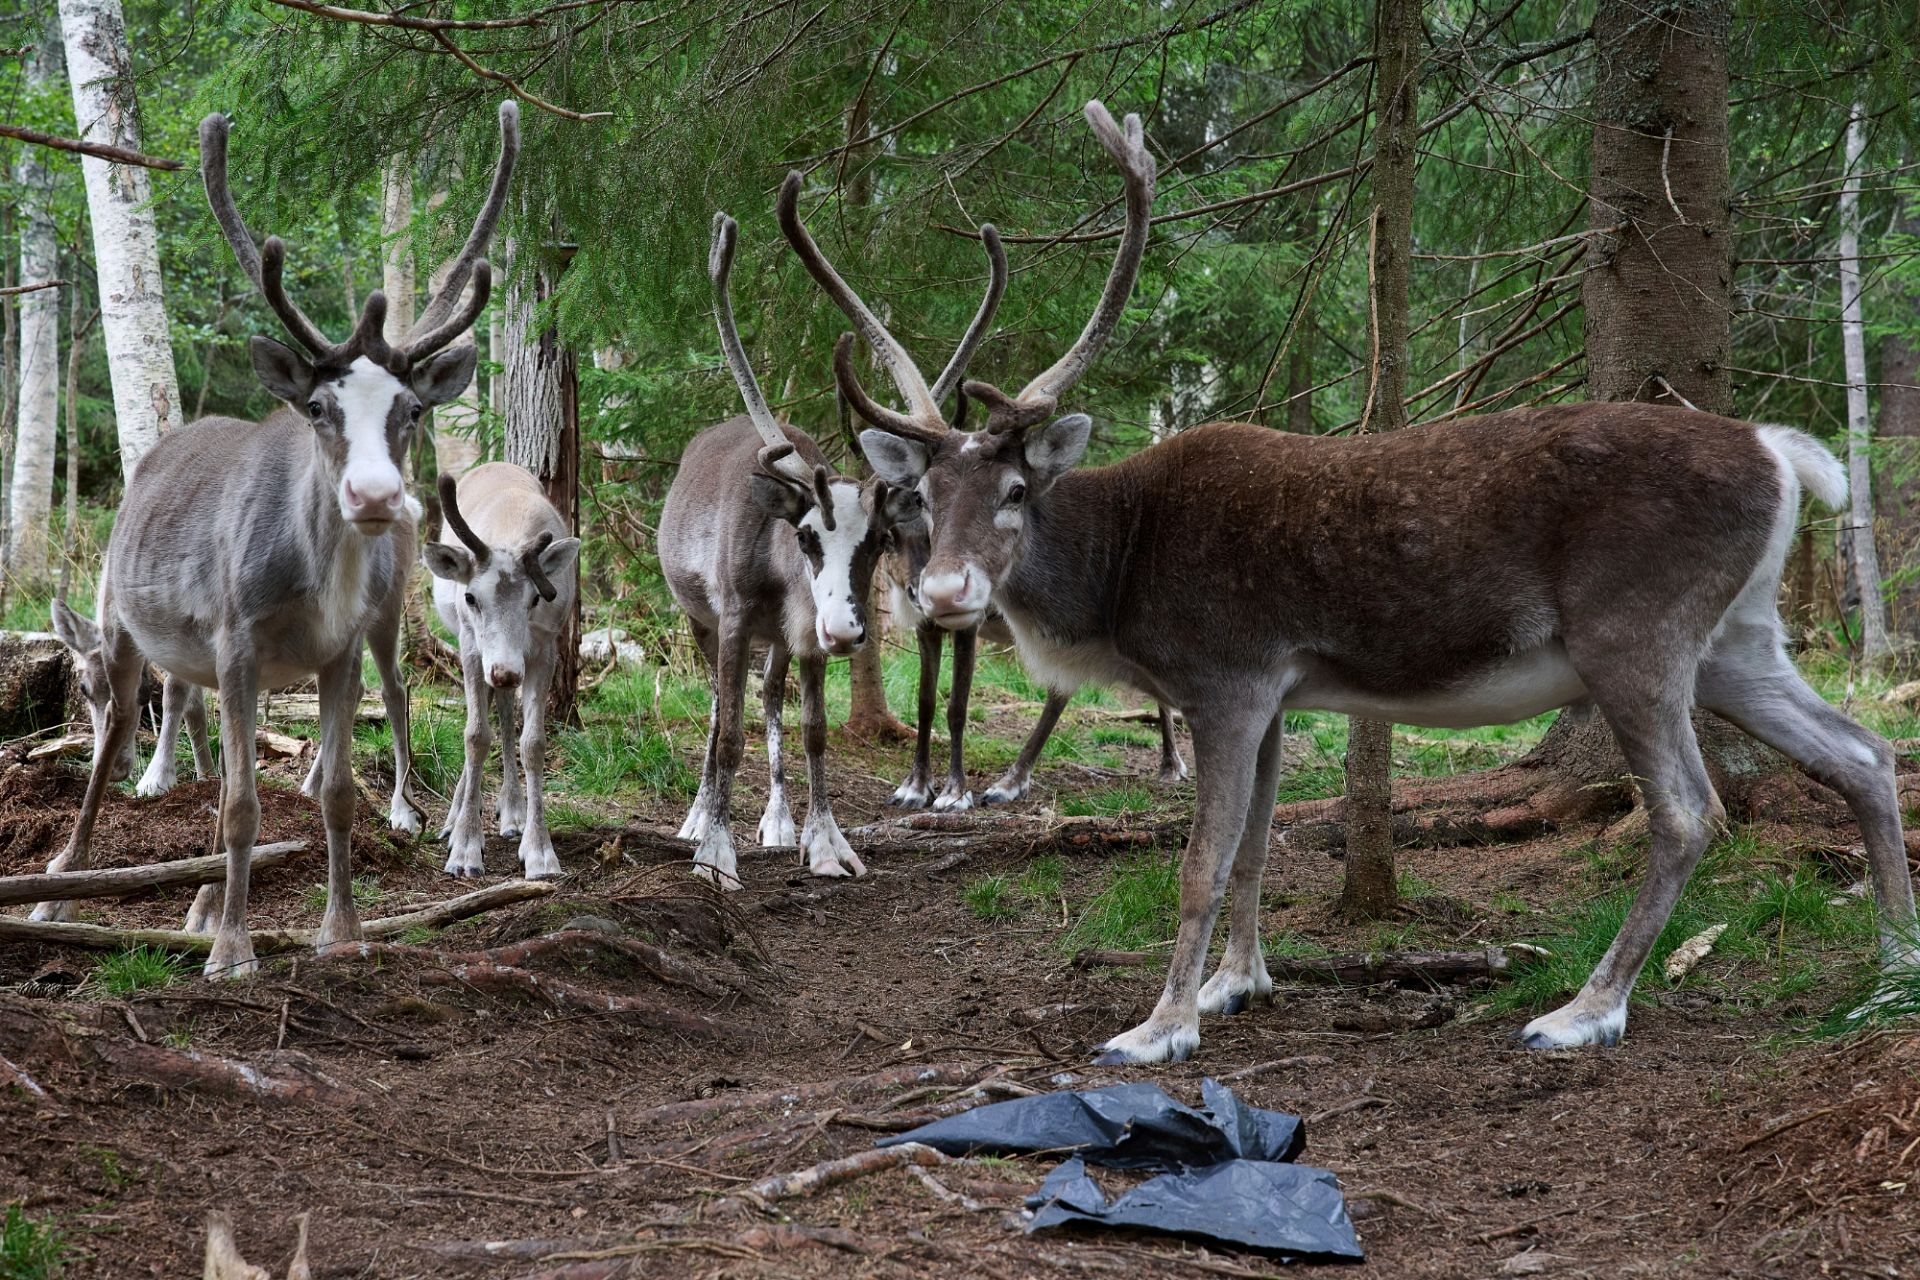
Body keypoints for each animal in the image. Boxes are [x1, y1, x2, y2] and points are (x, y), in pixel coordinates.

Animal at [25, 101, 518, 979]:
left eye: (411, 409)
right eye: (319, 406)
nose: (376, 496)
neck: (311, 587)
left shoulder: (338, 649)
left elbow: (334, 794)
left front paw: (340, 929)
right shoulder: (237, 639)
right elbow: (243, 806)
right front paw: (232, 951)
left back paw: (197, 896)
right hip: (120, 619)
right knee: (116, 736)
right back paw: (63, 882)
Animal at [423, 465, 579, 880]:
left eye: (537, 597)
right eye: (470, 597)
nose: (506, 671)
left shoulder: (544, 648)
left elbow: (534, 743)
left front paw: (540, 851)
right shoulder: (470, 645)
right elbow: (475, 735)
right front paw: (465, 848)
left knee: (506, 707)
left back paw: (512, 811)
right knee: (491, 709)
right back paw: (454, 819)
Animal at [801, 99, 1920, 1065]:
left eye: (1016, 490)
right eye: (919, 494)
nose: (945, 595)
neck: (1117, 579)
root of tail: (1782, 454)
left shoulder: (1228, 675)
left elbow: (1201, 861)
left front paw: (1159, 1025)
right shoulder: (1276, 693)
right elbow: (1257, 847)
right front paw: (1235, 983)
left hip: (1633, 633)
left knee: (1691, 810)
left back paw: (1585, 1009)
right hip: (1738, 637)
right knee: (1862, 753)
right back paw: (1892, 970)